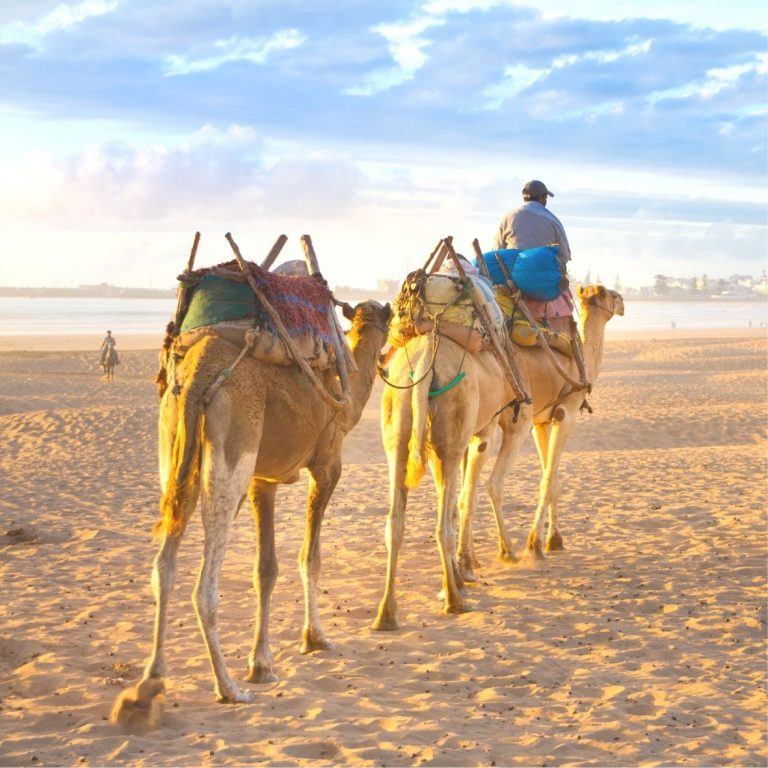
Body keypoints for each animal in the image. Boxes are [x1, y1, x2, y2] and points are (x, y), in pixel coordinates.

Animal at [112, 299, 391, 723]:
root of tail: (199, 374)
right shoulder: (327, 466)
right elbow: (310, 556)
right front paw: (316, 638)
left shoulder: (264, 480)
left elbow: (265, 569)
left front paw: (261, 664)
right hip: (232, 449)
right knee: (205, 585)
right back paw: (227, 688)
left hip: (174, 448)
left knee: (164, 564)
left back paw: (151, 682)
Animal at [457, 284, 624, 574]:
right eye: (612, 295)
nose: (623, 302)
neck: (583, 362)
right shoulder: (565, 413)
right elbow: (547, 479)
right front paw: (535, 545)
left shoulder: (542, 421)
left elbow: (553, 478)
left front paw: (554, 540)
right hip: (515, 419)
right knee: (492, 483)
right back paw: (505, 551)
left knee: (465, 489)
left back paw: (468, 559)